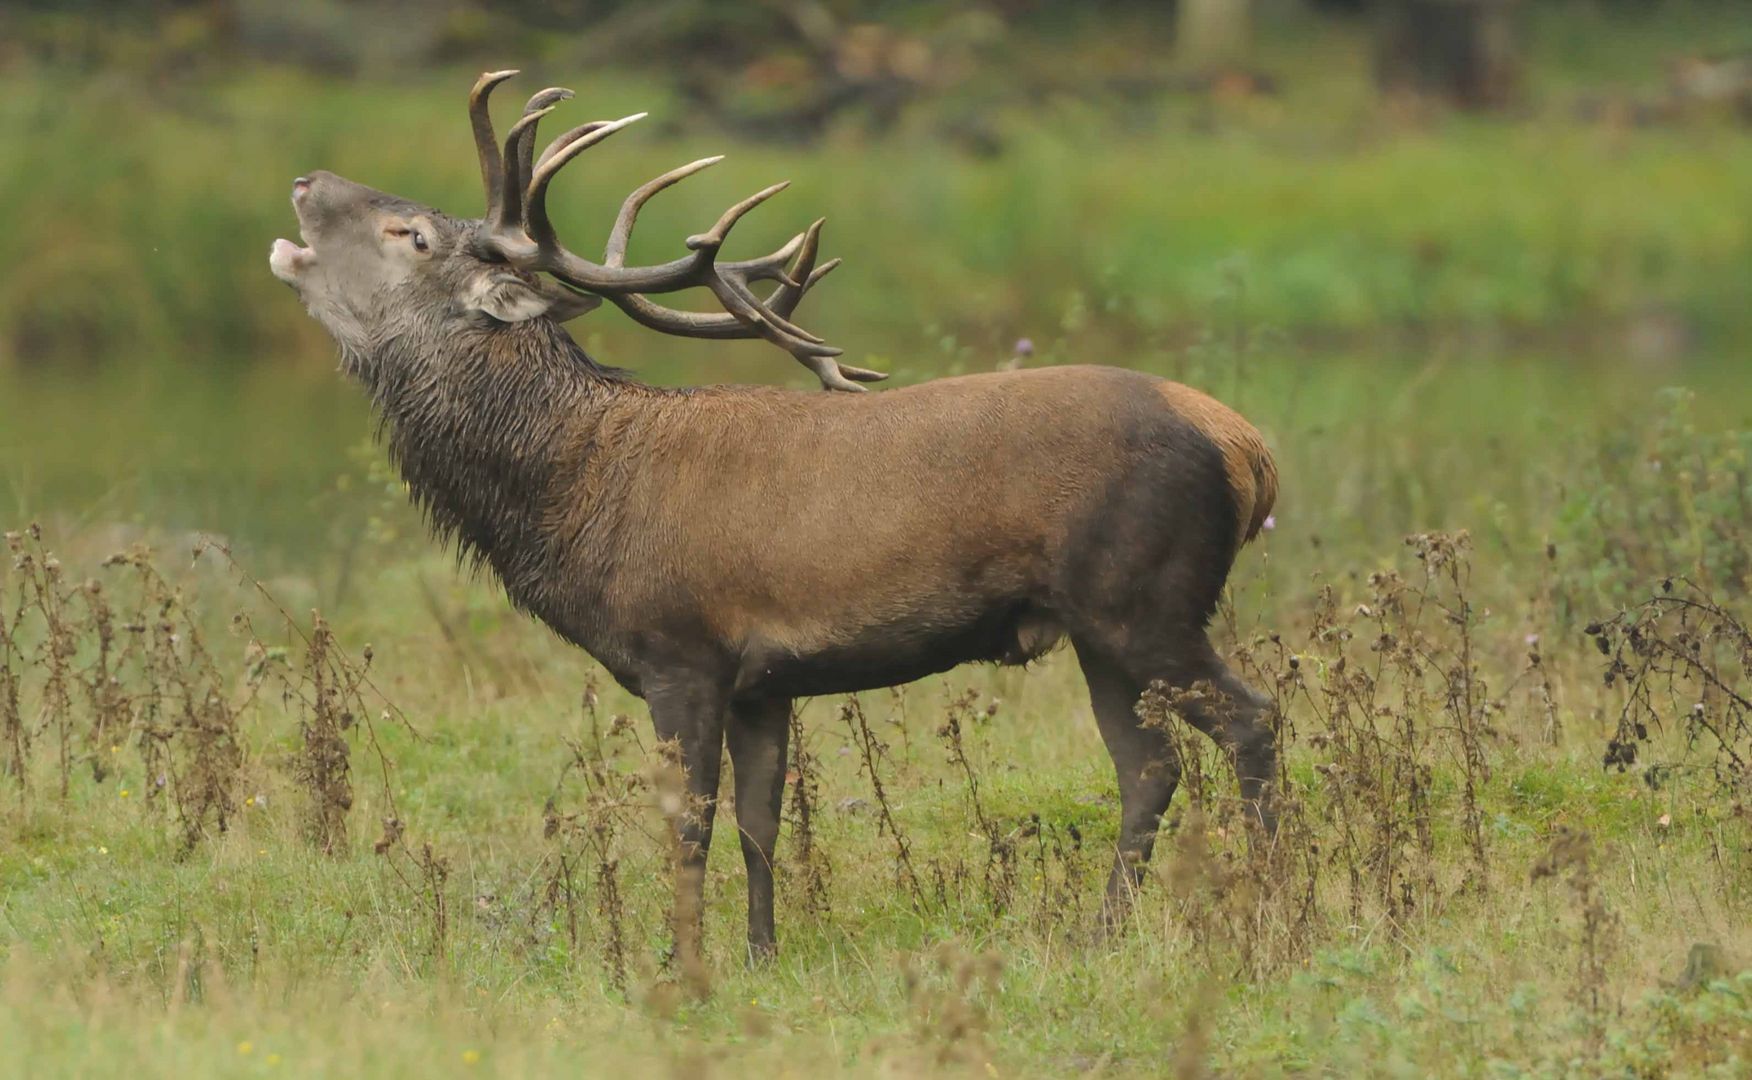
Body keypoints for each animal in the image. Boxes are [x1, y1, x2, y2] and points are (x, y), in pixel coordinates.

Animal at [268, 70, 1280, 965]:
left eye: (411, 235)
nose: (305, 180)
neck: (570, 497)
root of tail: (1250, 449)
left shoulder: (681, 651)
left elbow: (690, 825)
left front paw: (682, 967)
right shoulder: (764, 679)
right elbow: (761, 823)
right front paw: (761, 954)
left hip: (1145, 599)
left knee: (1252, 721)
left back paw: (1270, 915)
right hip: (1097, 631)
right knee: (1148, 766)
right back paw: (1102, 936)